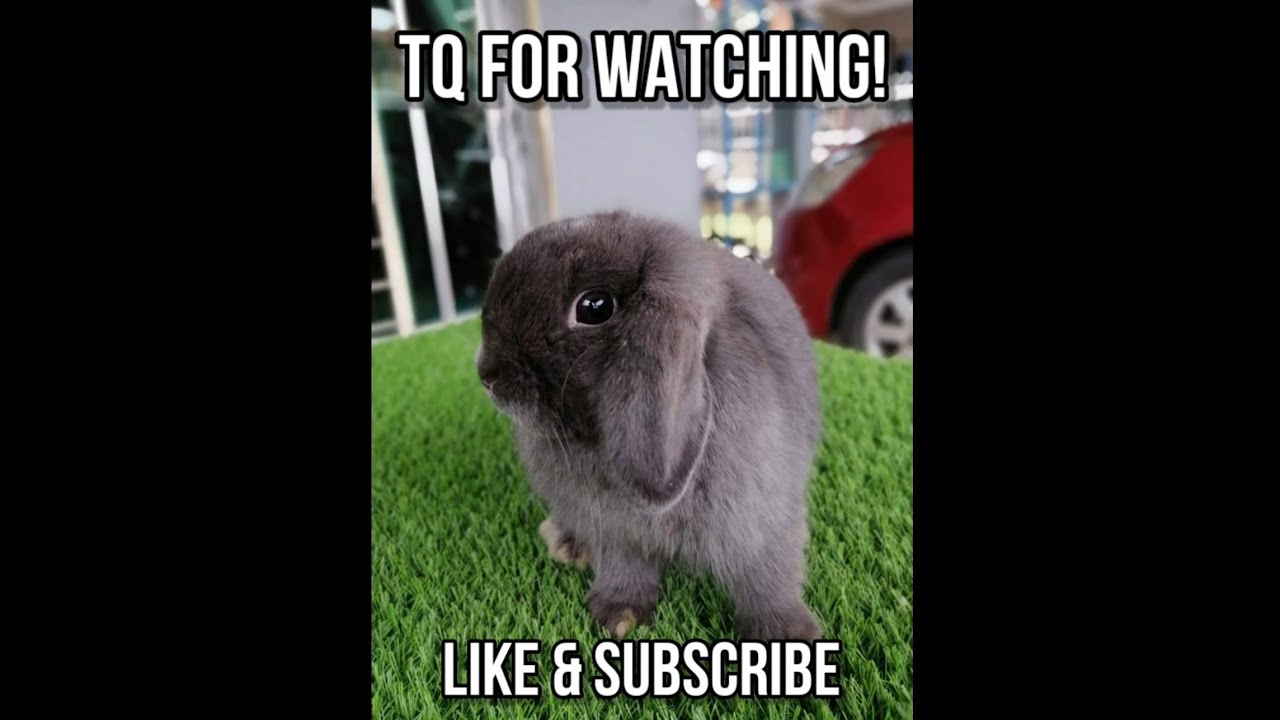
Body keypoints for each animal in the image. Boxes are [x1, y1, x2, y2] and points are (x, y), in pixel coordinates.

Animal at [476, 210, 822, 641]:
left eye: (594, 307)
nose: (486, 374)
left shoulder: (760, 524)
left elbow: (767, 580)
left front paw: (787, 634)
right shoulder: (614, 531)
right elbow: (625, 568)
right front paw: (617, 616)